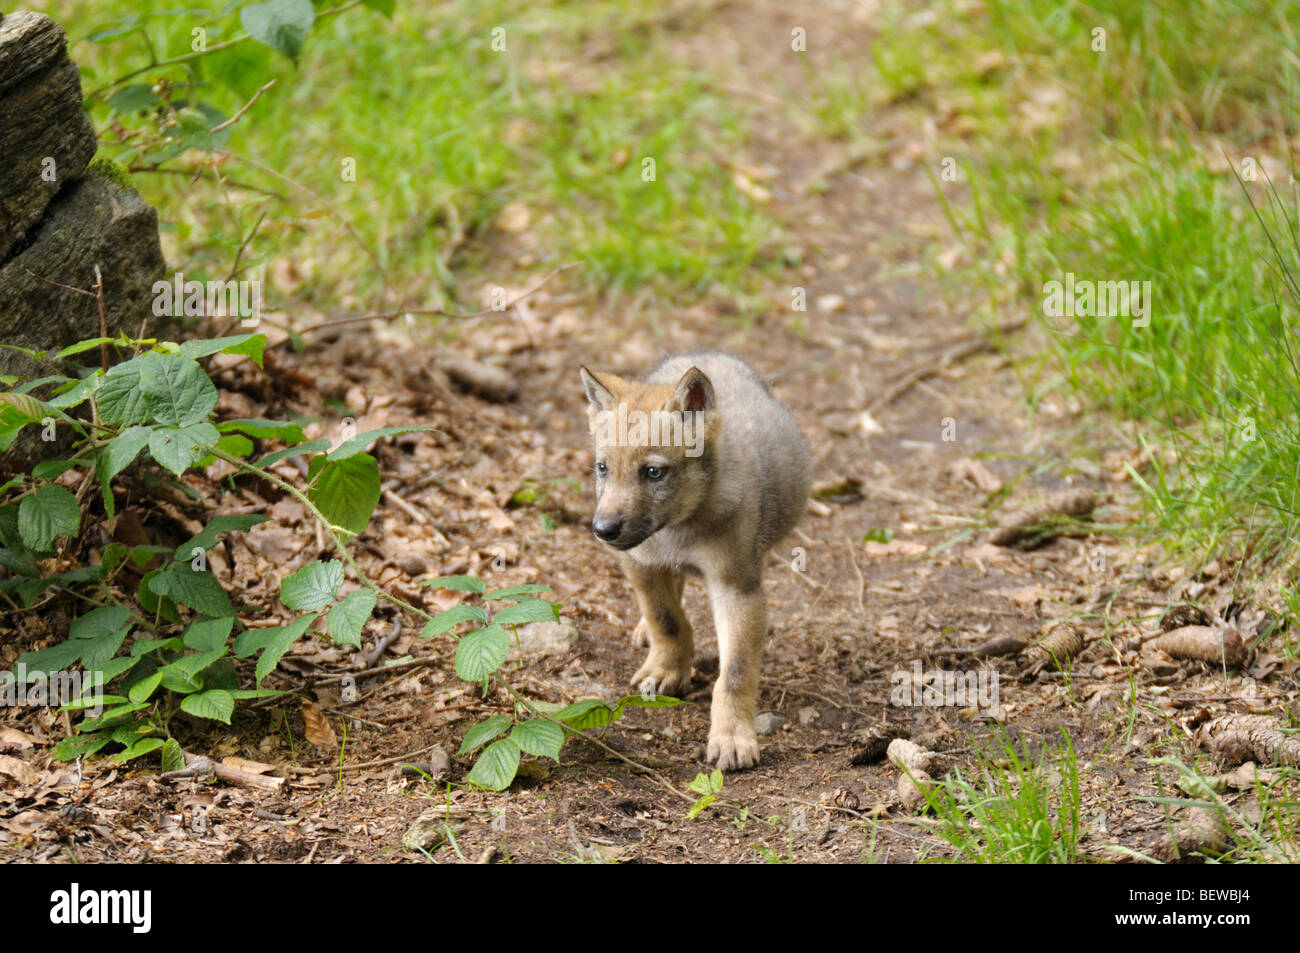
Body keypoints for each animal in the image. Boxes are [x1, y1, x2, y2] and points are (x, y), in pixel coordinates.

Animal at [579, 351, 811, 769]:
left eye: (653, 472)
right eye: (603, 468)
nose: (602, 530)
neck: (678, 531)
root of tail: (707, 355)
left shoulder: (736, 587)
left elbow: (735, 673)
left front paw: (733, 737)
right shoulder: (641, 563)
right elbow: (666, 619)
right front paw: (667, 669)